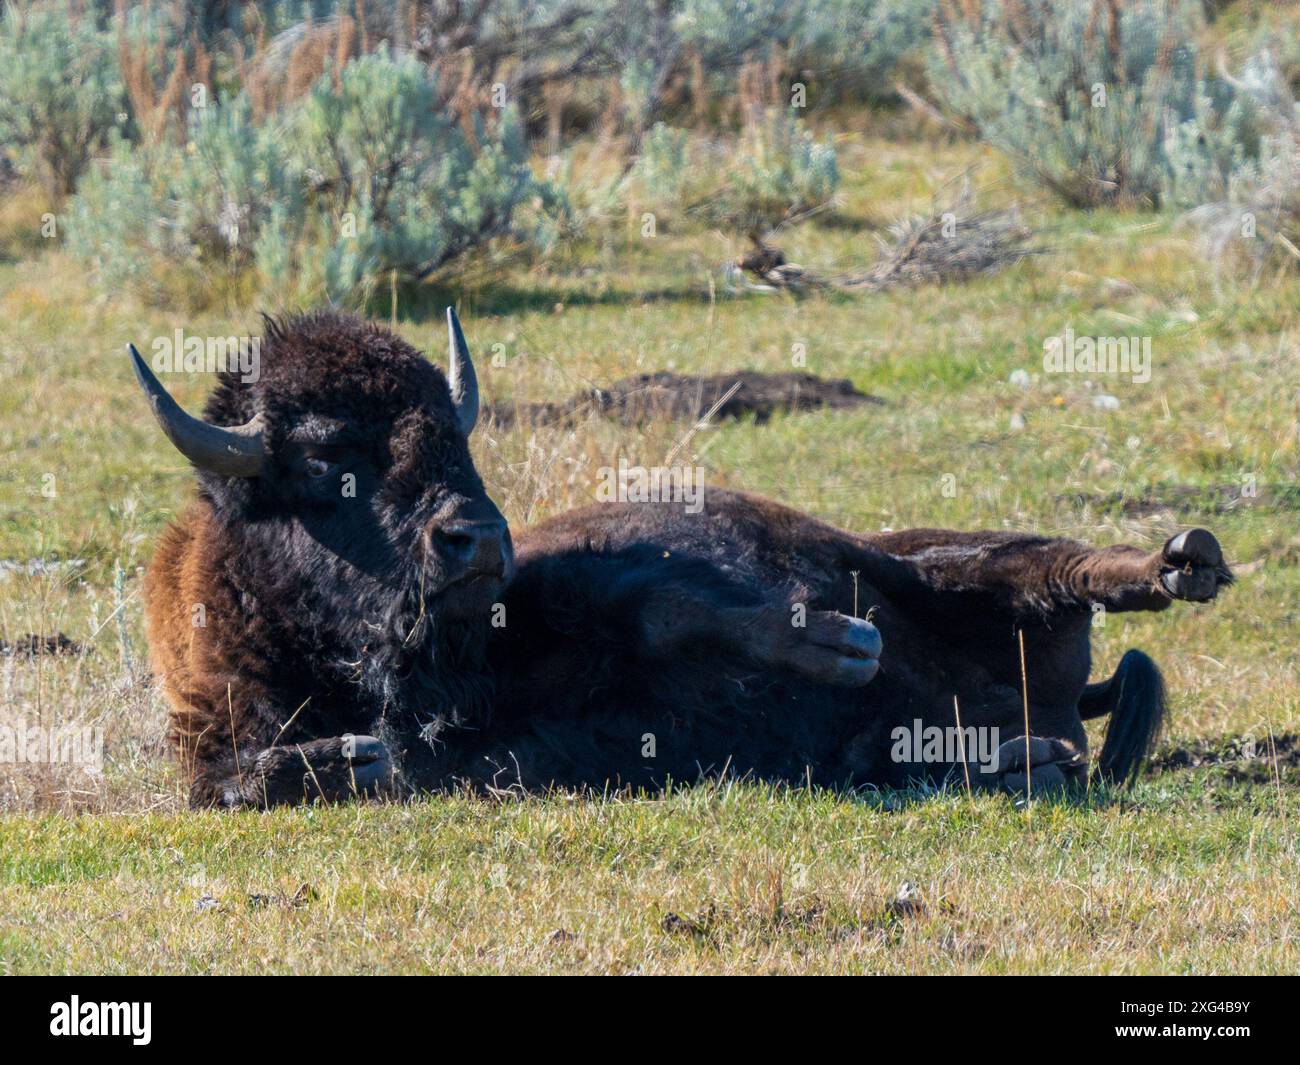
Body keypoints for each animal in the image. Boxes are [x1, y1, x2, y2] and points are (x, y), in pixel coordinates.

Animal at [131, 311, 1232, 808]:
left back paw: (1183, 562)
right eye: (327, 456)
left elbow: (669, 608)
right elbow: (240, 780)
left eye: (452, 431)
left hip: (936, 561)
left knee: (1055, 565)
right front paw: (342, 757)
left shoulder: (579, 579)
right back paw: (1021, 755)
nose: (476, 539)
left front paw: (837, 639)